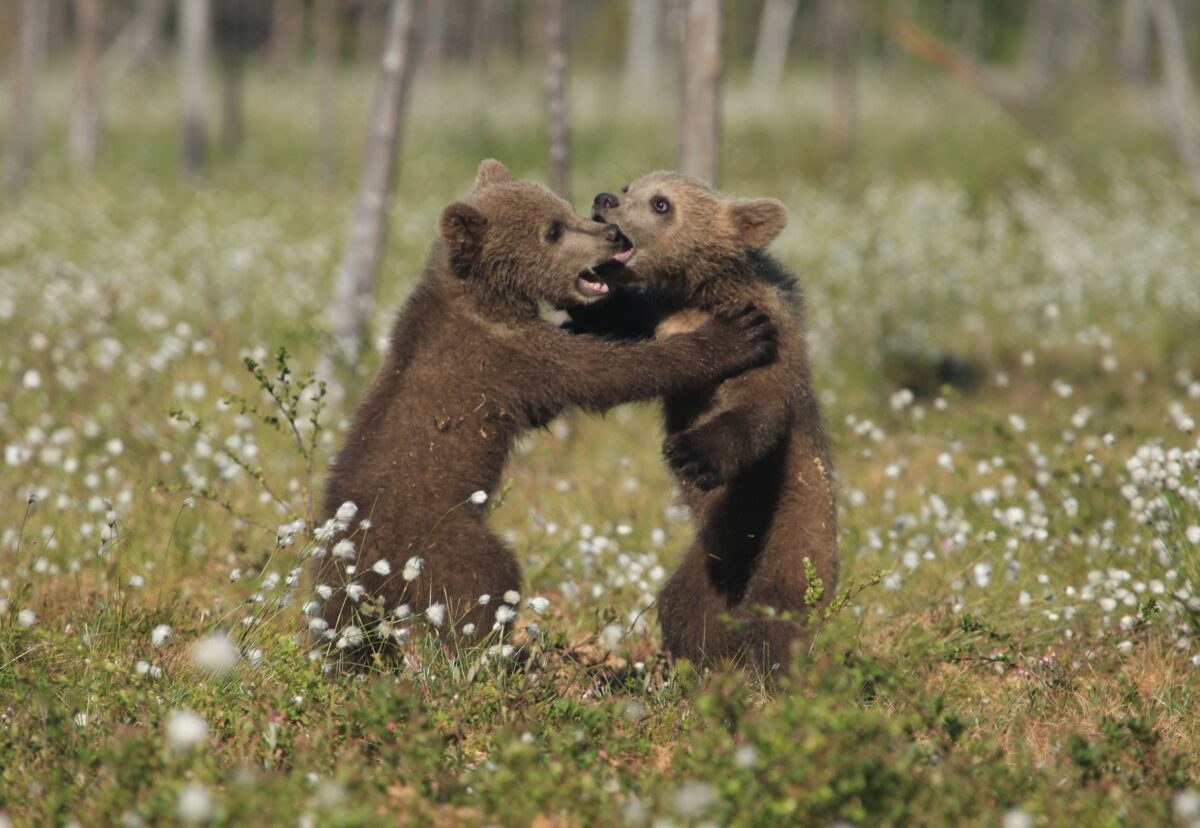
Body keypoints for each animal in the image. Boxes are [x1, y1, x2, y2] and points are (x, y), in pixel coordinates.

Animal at [312, 160, 777, 662]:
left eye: (565, 210)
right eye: (553, 230)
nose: (611, 232)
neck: (490, 295)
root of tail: (360, 556)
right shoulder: (513, 356)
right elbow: (605, 372)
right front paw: (735, 334)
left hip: (340, 582)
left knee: (335, 627)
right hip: (438, 537)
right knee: (484, 582)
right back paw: (487, 652)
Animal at [576, 171, 839, 673]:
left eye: (661, 203)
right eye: (630, 185)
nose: (604, 199)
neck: (700, 295)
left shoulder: (770, 341)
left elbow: (756, 409)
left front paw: (693, 454)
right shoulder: (659, 318)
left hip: (794, 530)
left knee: (781, 611)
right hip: (710, 556)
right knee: (686, 604)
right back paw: (703, 660)